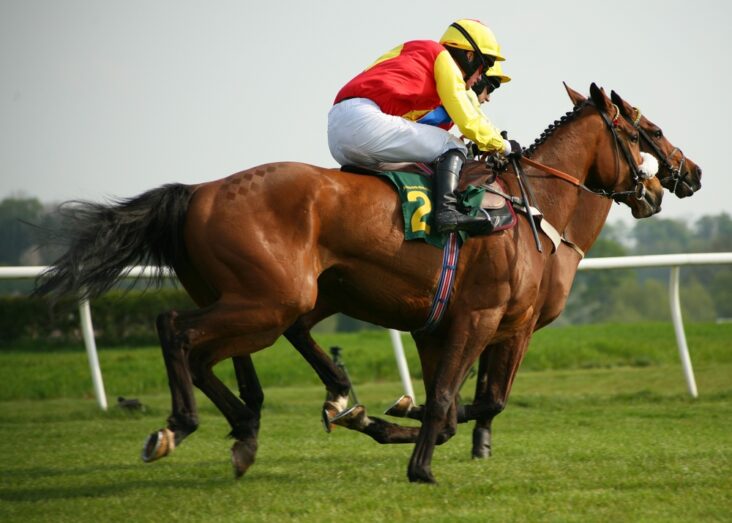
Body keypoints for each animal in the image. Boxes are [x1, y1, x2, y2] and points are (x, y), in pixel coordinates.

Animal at [35, 82, 658, 484]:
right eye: (645, 131)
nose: (665, 182)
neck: (529, 211)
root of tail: (198, 192)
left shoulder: (439, 327)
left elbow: (455, 405)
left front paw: (385, 419)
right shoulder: (486, 319)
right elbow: (461, 402)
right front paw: (419, 465)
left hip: (264, 299)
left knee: (215, 353)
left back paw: (262, 423)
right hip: (271, 299)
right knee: (178, 330)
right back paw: (183, 425)